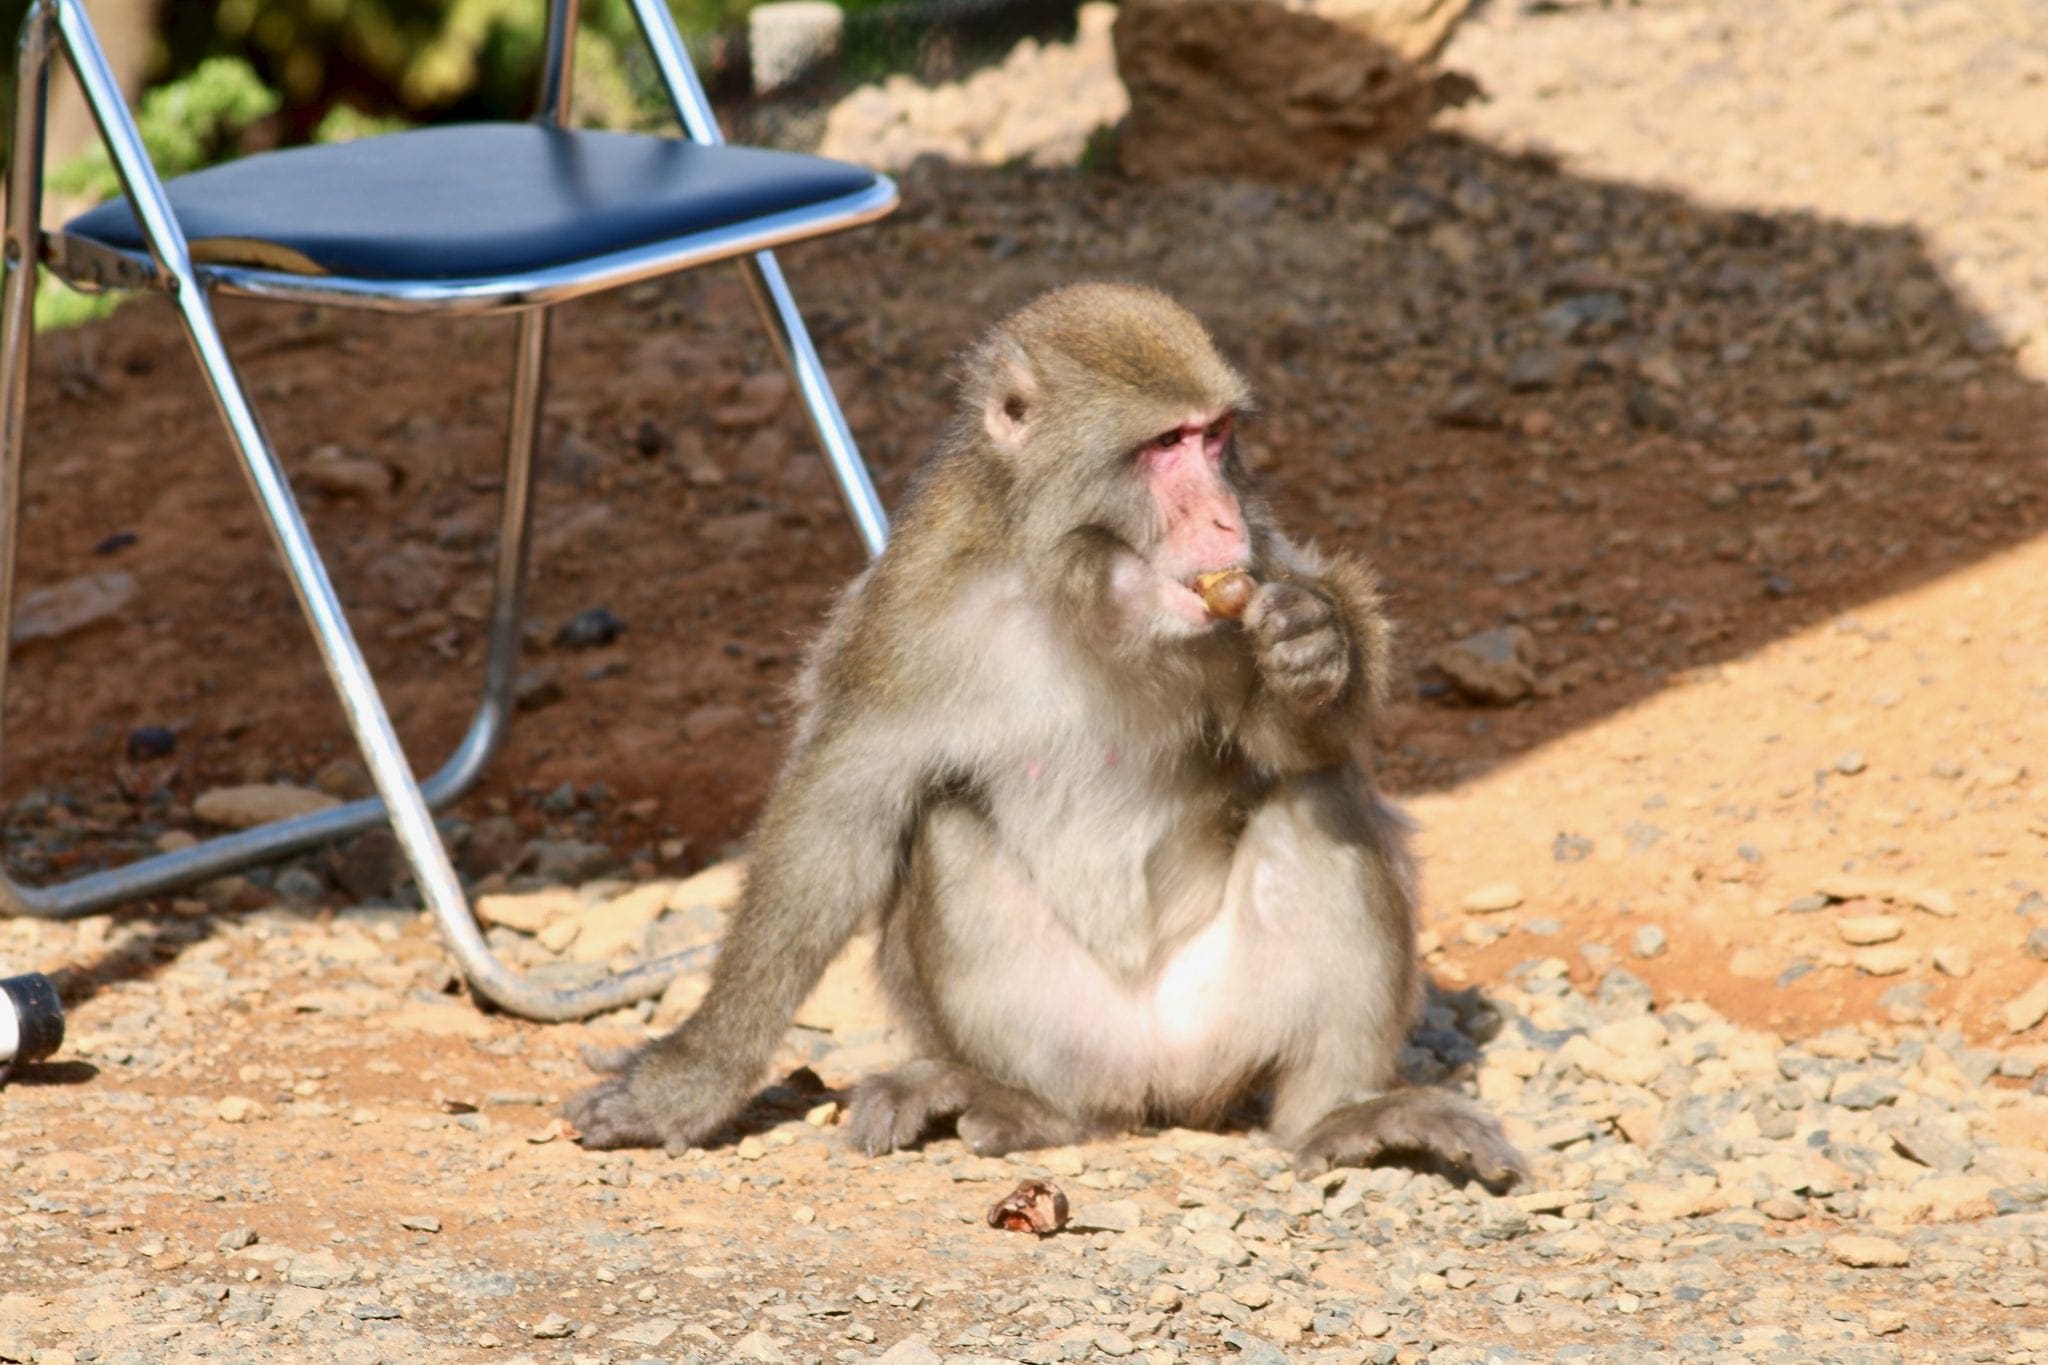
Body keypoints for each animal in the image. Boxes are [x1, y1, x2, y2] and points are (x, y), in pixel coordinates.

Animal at [566, 283, 1523, 1184]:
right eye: (1164, 445)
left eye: (1214, 438)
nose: (1222, 519)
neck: (1084, 587)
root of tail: (1157, 1080)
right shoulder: (904, 616)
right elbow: (835, 822)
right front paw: (691, 1083)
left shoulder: (1258, 566)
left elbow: (1299, 749)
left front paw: (1317, 642)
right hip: (1072, 1031)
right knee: (945, 828)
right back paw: (1026, 1104)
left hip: (1230, 1019)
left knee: (1321, 800)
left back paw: (1341, 1114)